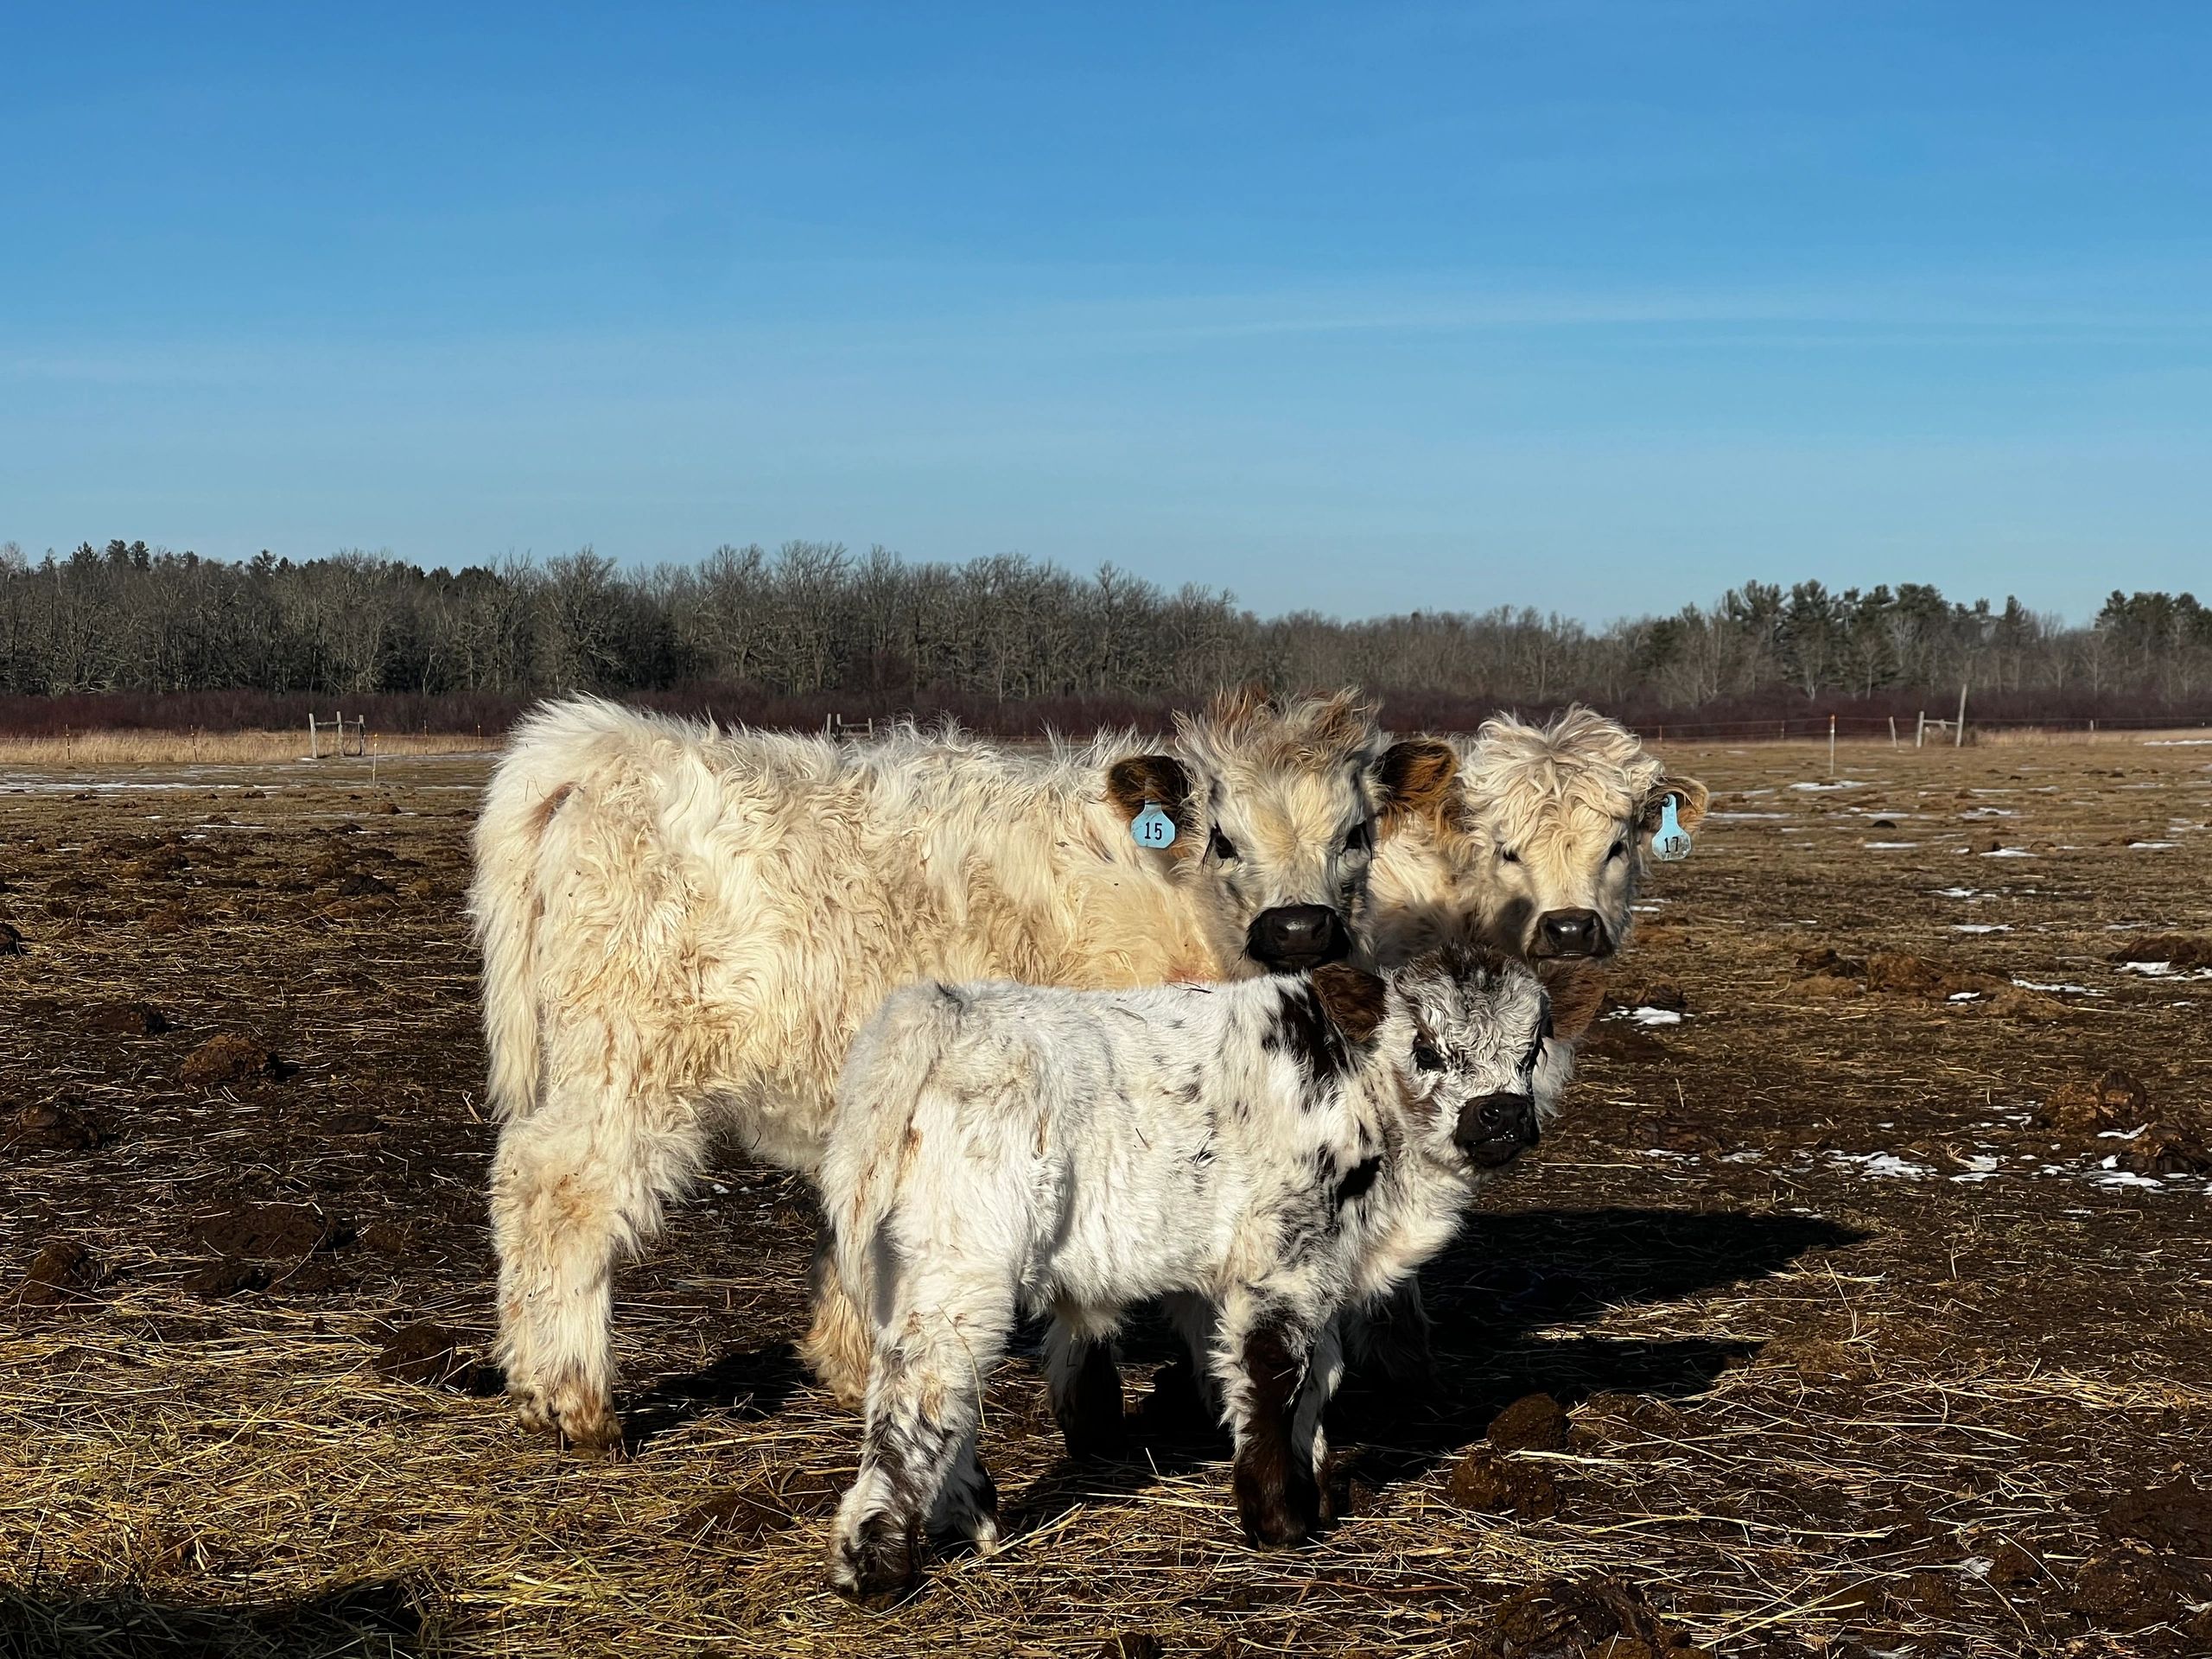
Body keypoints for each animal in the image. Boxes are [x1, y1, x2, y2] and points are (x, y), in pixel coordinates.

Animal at [470, 689, 1459, 1447]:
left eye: (1358, 834)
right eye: (1222, 837)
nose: (1299, 929)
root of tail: (603, 744)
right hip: (628, 1070)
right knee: (555, 1191)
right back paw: (571, 1399)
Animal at [820, 947, 1558, 1607]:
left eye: (1531, 1051)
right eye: (1427, 1047)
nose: (1502, 1112)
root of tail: (935, 1013)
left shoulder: (1302, 1272)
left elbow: (1313, 1380)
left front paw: (1317, 1497)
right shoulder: (1281, 1262)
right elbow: (1273, 1377)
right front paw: (1278, 1521)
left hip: (906, 1269)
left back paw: (970, 1521)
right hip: (958, 1265)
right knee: (919, 1395)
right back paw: (875, 1570)